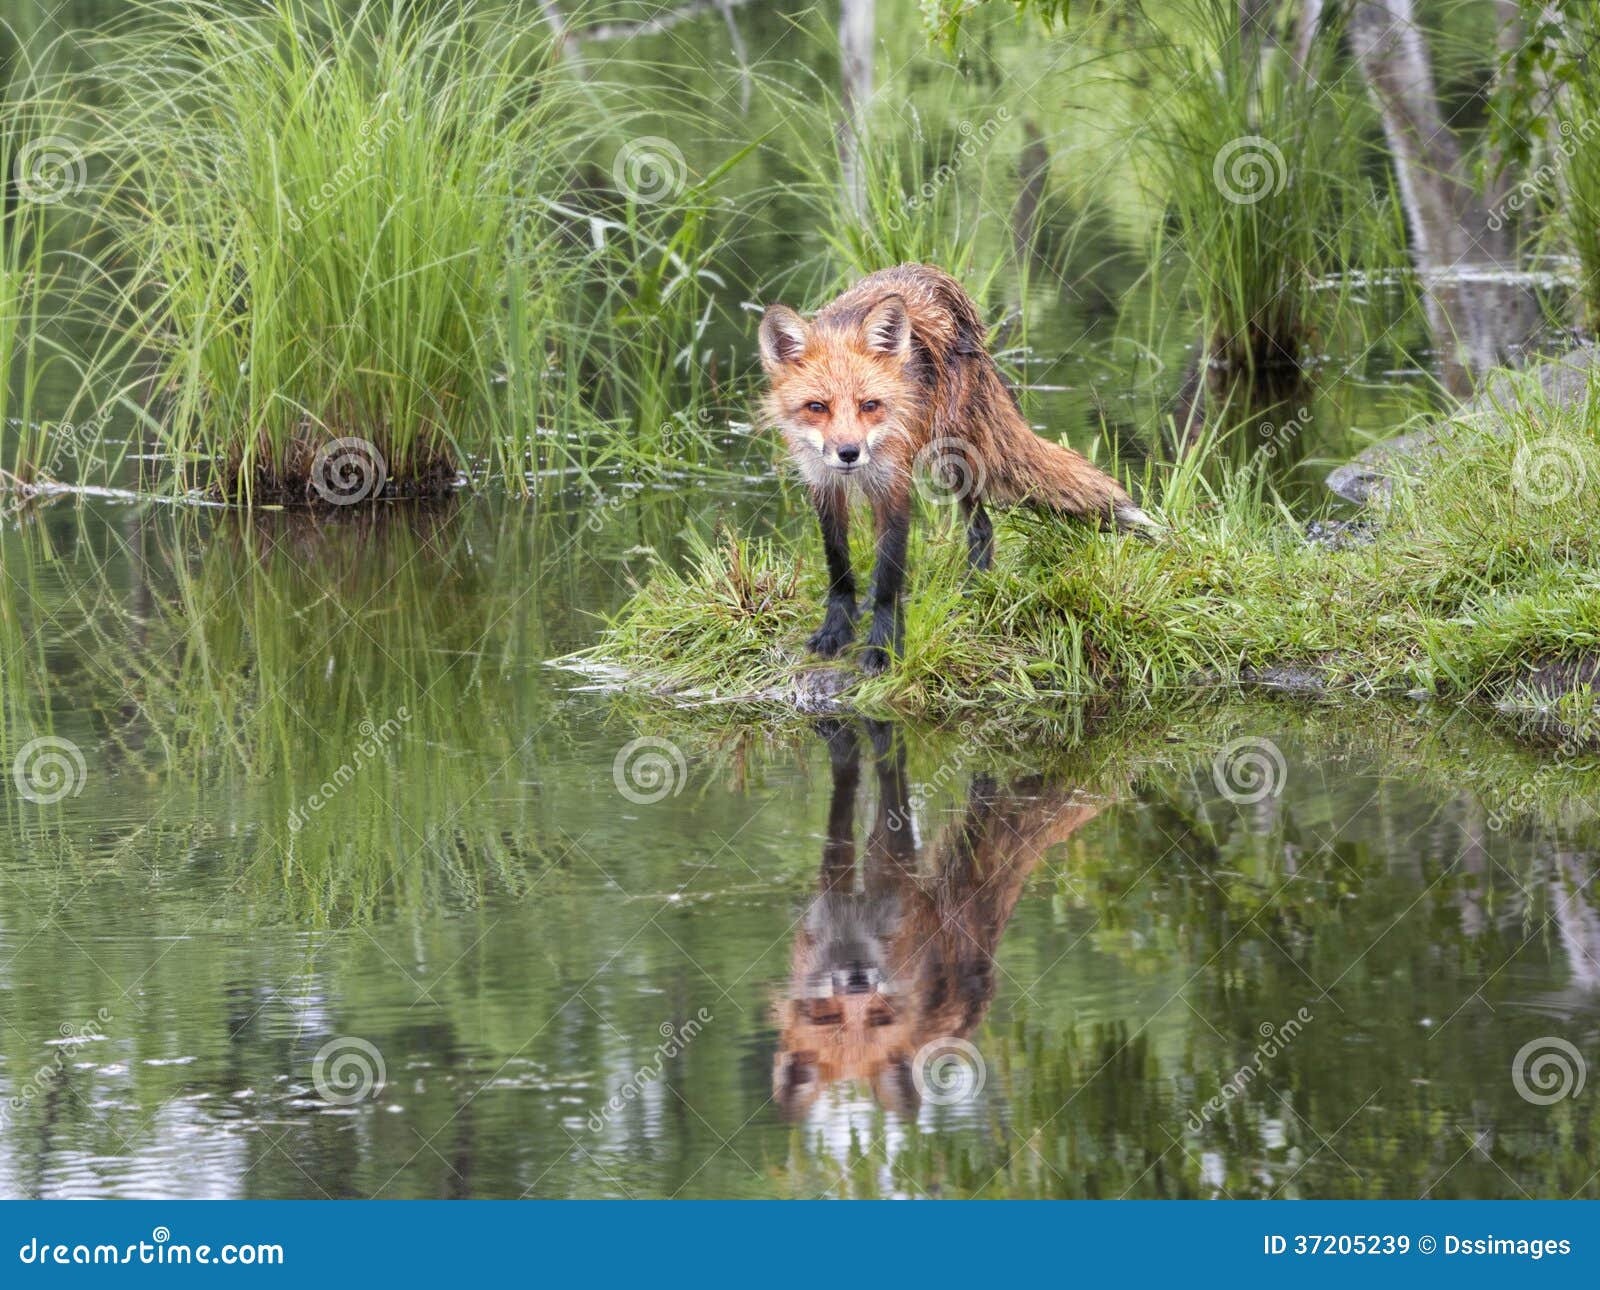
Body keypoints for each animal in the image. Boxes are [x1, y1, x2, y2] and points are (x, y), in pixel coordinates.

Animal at [759, 263, 1155, 674]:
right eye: (817, 407)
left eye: (870, 405)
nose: (849, 453)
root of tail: (927, 272)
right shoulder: (823, 482)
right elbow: (838, 566)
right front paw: (837, 630)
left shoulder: (893, 483)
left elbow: (888, 576)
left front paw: (884, 647)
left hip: (955, 456)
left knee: (982, 528)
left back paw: (973, 592)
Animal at [772, 719, 1106, 1118]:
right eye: (826, 1017)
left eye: (880, 1016)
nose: (857, 980)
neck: (857, 932)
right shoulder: (828, 909)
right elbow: (845, 797)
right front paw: (842, 743)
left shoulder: (895, 889)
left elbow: (890, 780)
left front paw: (881, 738)